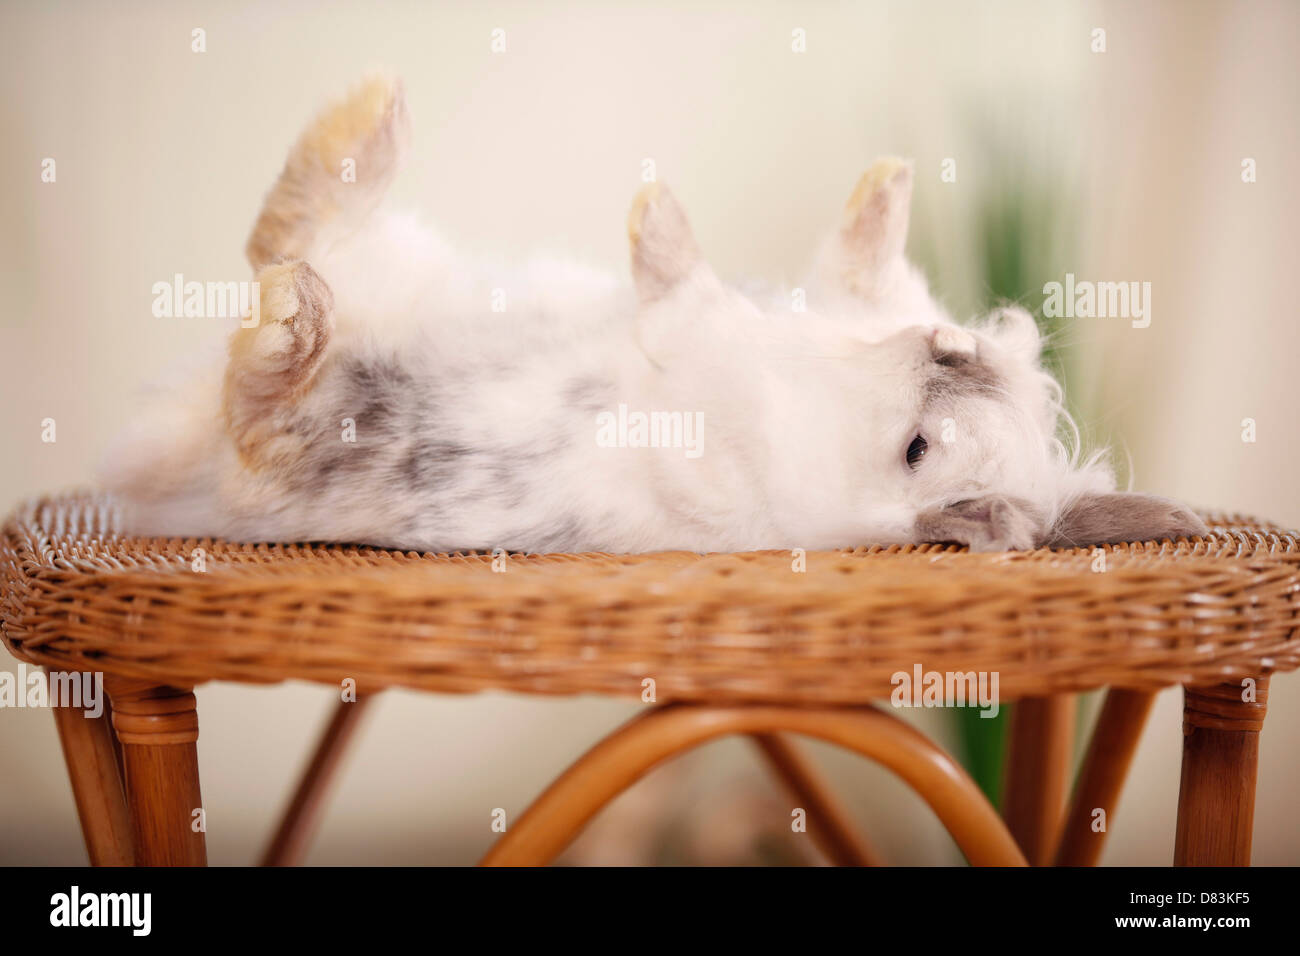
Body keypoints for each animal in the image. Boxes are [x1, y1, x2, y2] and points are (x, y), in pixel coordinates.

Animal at [101, 75, 1206, 554]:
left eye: (917, 452)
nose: (950, 353)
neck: (831, 370)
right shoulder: (840, 301)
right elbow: (862, 262)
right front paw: (886, 183)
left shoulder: (715, 368)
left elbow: (683, 291)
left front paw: (655, 221)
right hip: (397, 260)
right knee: (294, 228)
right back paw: (368, 118)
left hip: (300, 430)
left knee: (269, 365)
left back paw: (296, 309)